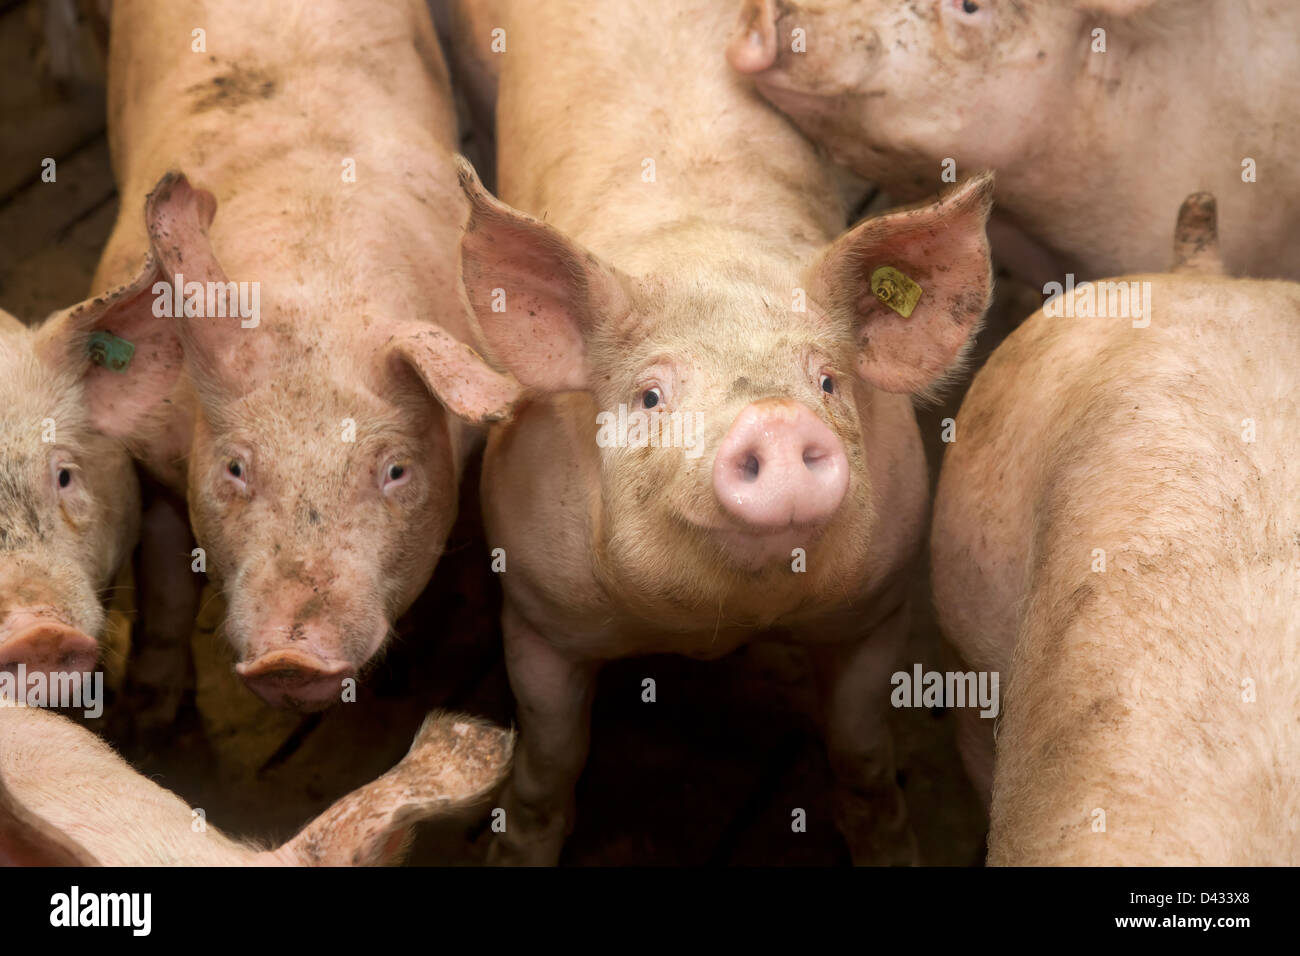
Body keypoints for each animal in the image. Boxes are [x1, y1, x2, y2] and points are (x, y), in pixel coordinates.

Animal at [88, 0, 521, 711]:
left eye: (395, 471)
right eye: (235, 468)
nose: (290, 657)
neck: (315, 294)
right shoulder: (149, 454)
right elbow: (167, 584)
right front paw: (148, 717)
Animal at [448, 0, 995, 865]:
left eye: (827, 381)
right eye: (649, 396)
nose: (773, 417)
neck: (718, 621)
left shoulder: (876, 605)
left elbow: (861, 751)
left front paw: (890, 847)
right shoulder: (535, 612)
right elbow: (551, 760)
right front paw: (518, 850)